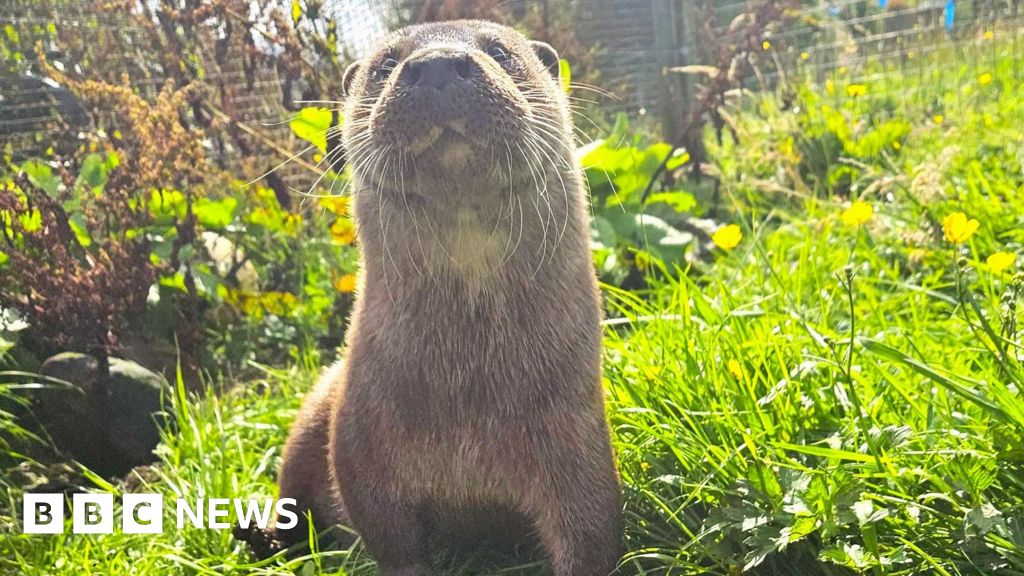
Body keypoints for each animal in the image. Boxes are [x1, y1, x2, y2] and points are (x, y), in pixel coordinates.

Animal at [258, 20, 621, 575]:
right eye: (386, 63)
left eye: (499, 51)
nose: (437, 65)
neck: (467, 397)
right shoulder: (360, 448)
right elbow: (391, 540)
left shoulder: (579, 444)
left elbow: (592, 536)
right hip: (314, 411)